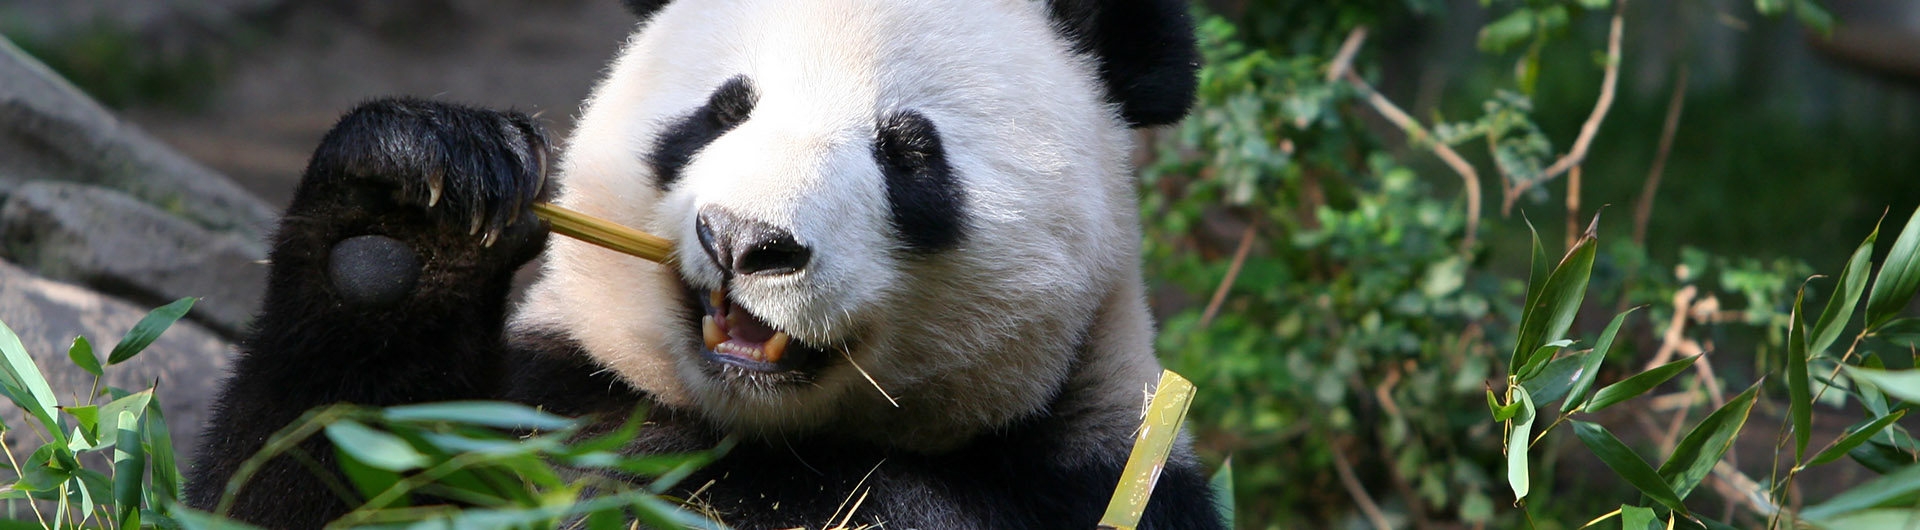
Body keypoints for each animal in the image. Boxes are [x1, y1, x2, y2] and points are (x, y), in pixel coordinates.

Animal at [183, 0, 1222, 528]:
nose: (743, 242)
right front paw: (406, 212)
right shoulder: (554, 401)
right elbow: (302, 483)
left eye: (907, 151)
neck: (760, 435)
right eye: (723, 111)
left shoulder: (1091, 484)